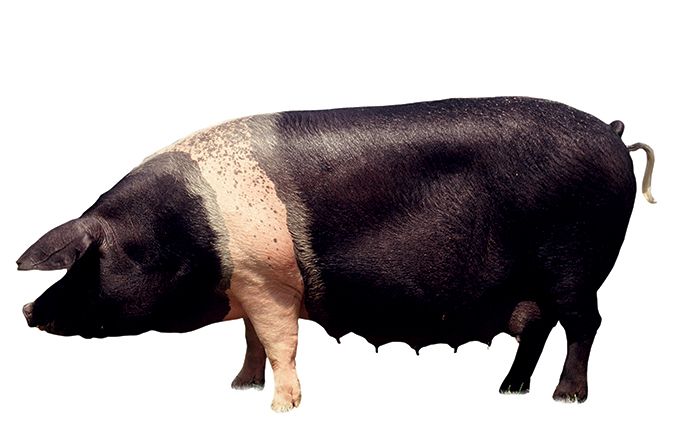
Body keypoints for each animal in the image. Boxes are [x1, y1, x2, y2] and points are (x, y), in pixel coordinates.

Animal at [17, 97, 656, 411]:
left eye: (94, 259)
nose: (26, 311)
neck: (191, 230)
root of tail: (613, 132)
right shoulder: (252, 285)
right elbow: (252, 338)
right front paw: (239, 389)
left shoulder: (271, 281)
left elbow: (280, 343)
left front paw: (279, 408)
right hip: (538, 281)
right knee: (537, 329)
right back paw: (509, 391)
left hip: (574, 266)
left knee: (583, 325)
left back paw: (566, 399)